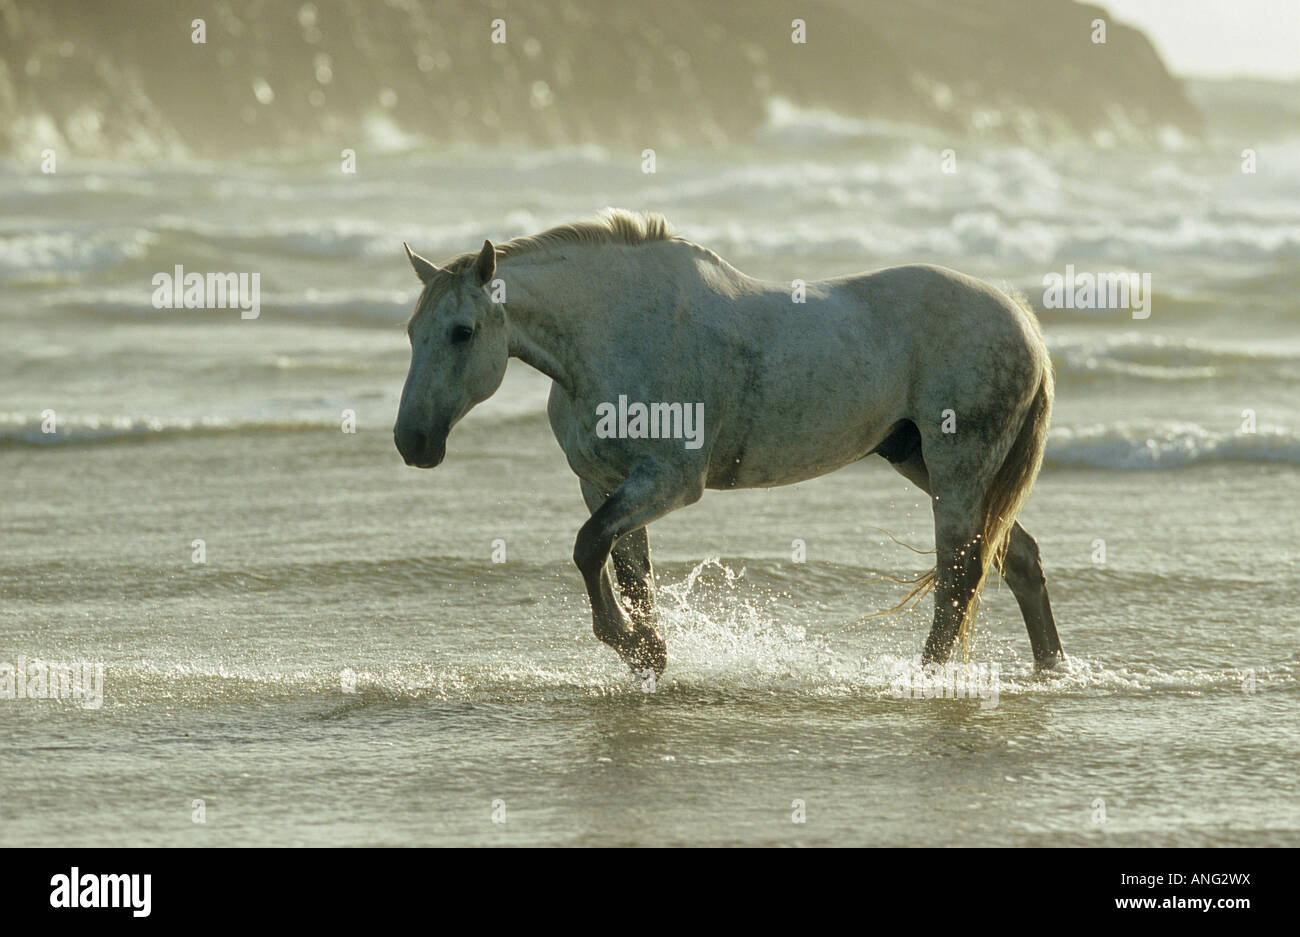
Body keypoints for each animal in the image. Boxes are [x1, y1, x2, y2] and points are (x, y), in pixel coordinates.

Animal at [394, 210, 1064, 678]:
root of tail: (1022, 321)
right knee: (1016, 558)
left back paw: (926, 676)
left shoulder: (669, 482)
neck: (614, 332)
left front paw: (633, 645)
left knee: (961, 572)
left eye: (461, 332)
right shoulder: (604, 485)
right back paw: (1049, 668)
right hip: (920, 461)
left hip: (958, 469)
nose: (412, 442)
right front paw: (647, 651)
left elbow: (589, 550)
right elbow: (624, 569)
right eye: (411, 330)